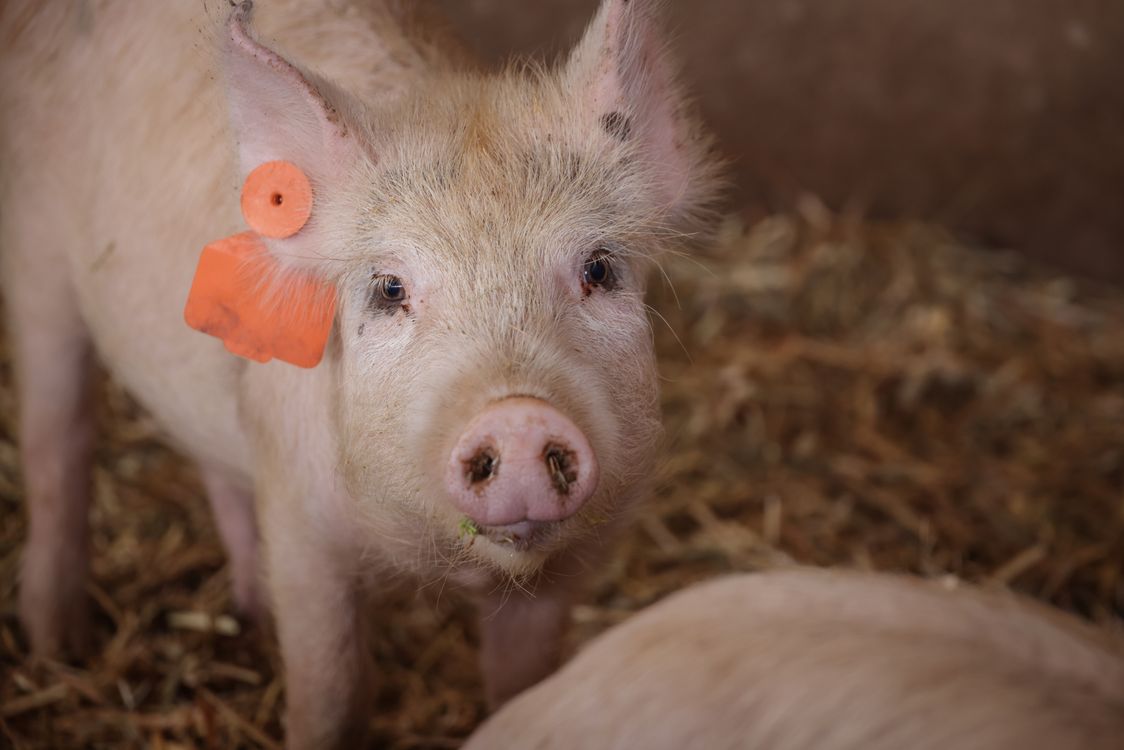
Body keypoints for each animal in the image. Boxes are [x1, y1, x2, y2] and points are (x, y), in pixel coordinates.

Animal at [0, 0, 722, 746]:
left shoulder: (569, 566)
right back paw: (58, 643)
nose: (518, 414)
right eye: (389, 289)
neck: (437, 562)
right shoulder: (302, 526)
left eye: (599, 269)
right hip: (34, 257)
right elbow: (334, 690)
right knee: (58, 442)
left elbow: (522, 686)